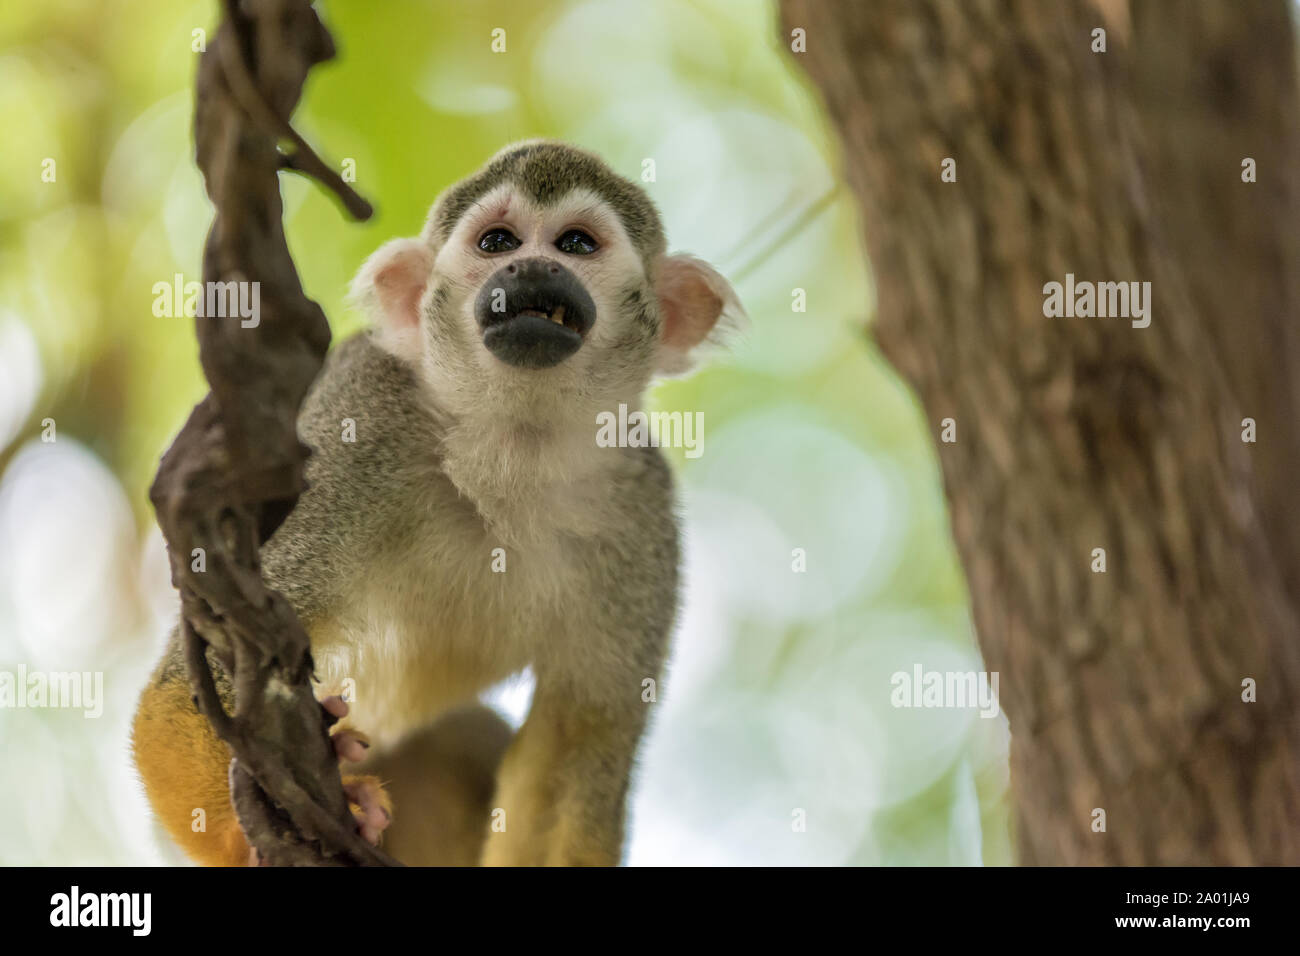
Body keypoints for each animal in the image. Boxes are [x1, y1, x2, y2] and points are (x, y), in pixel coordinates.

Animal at [131, 140, 745, 866]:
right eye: (497, 241)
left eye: (576, 243)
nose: (528, 266)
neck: (513, 445)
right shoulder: (362, 425)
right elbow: (187, 684)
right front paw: (247, 838)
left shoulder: (643, 512)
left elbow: (576, 755)